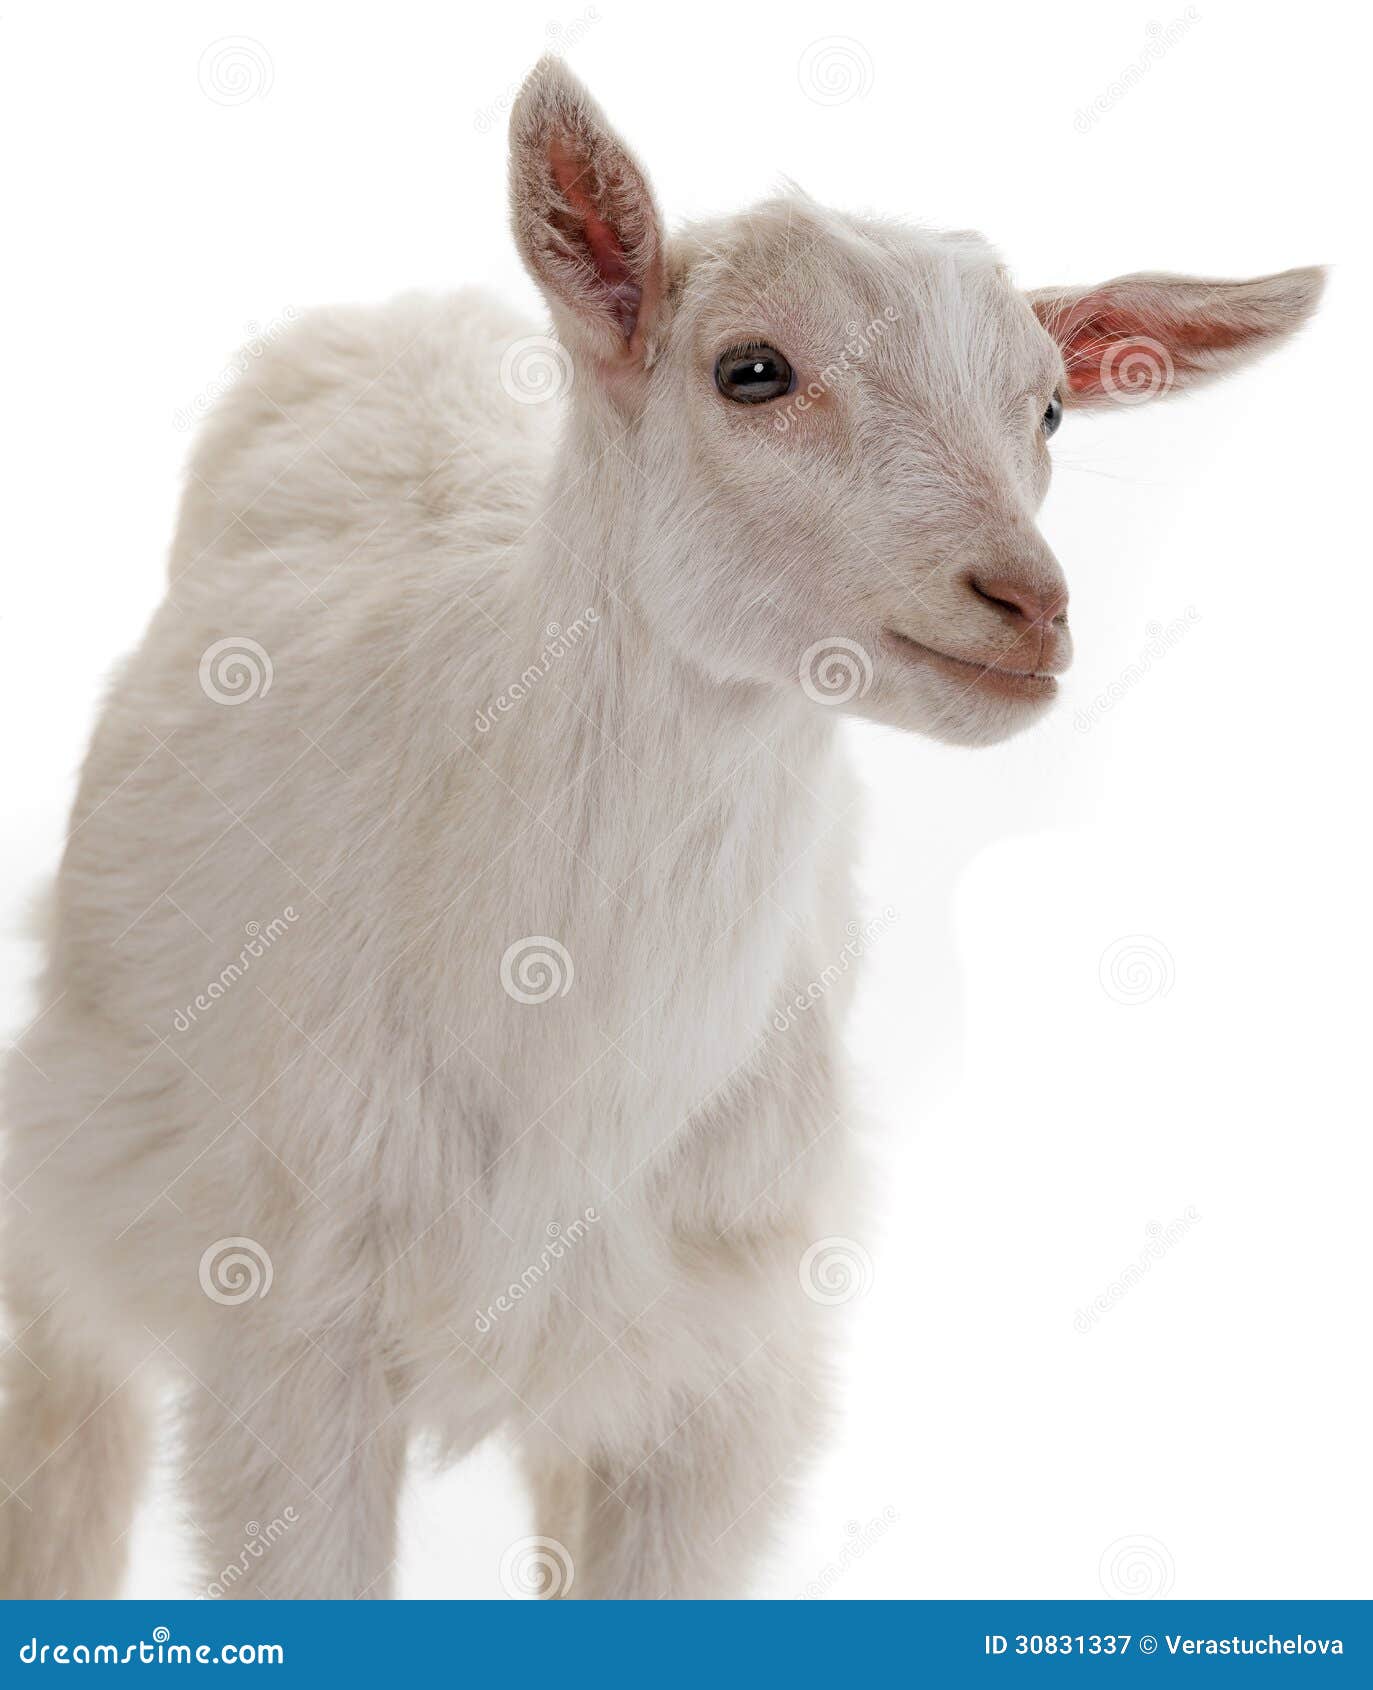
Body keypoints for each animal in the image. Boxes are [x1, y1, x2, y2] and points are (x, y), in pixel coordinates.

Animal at [0, 57, 1322, 1599]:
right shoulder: (289, 1331)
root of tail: (401, 312)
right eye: (750, 368)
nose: (1028, 605)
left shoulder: (718, 1371)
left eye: (1051, 408)